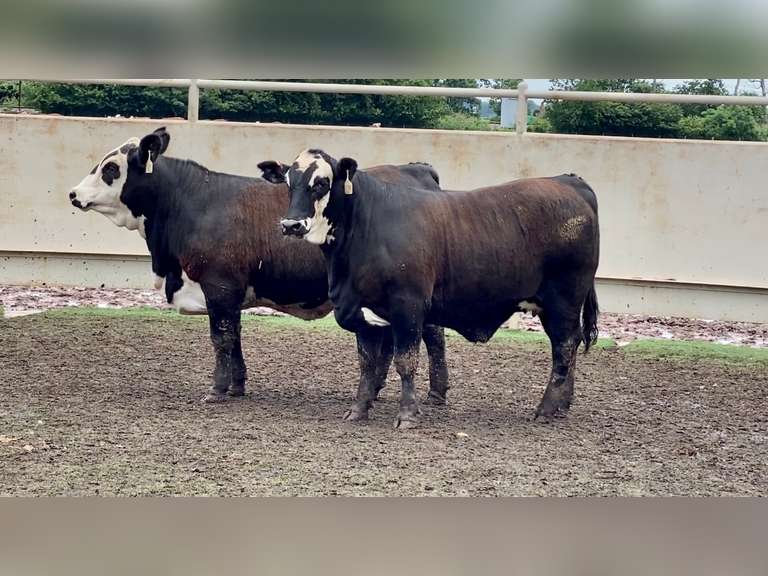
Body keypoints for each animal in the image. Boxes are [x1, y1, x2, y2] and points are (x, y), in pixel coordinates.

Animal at [68, 129, 450, 409]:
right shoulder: (231, 294)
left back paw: (434, 392)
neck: (192, 203)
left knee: (430, 334)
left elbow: (221, 338)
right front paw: (236, 385)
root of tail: (416, 169)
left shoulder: (219, 287)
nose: (73, 193)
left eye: (111, 168)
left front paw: (217, 389)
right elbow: (234, 336)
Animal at [271, 149, 599, 429]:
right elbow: (366, 364)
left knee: (564, 347)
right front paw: (358, 410)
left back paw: (546, 409)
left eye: (321, 183)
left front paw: (407, 415)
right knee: (568, 347)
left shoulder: (408, 308)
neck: (365, 227)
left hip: (563, 300)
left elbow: (405, 362)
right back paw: (562, 406)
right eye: (289, 183)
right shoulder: (362, 312)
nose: (291, 225)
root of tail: (569, 182)